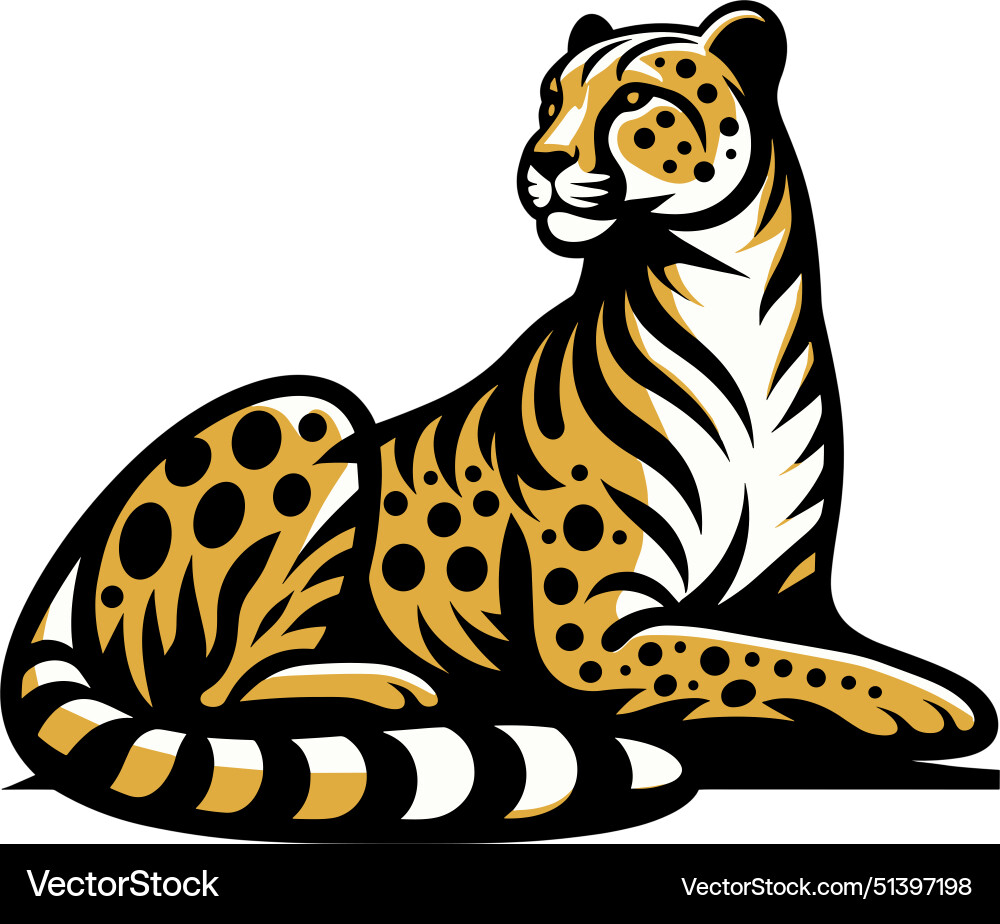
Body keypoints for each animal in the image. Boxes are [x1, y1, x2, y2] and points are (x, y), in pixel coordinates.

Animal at [2, 3, 996, 843]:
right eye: (551, 99)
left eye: (635, 99)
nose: (541, 164)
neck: (726, 289)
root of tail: (79, 551)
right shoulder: (596, 633)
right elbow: (756, 661)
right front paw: (931, 707)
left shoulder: (789, 598)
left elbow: (801, 652)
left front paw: (930, 693)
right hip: (304, 406)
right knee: (212, 689)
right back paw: (393, 688)